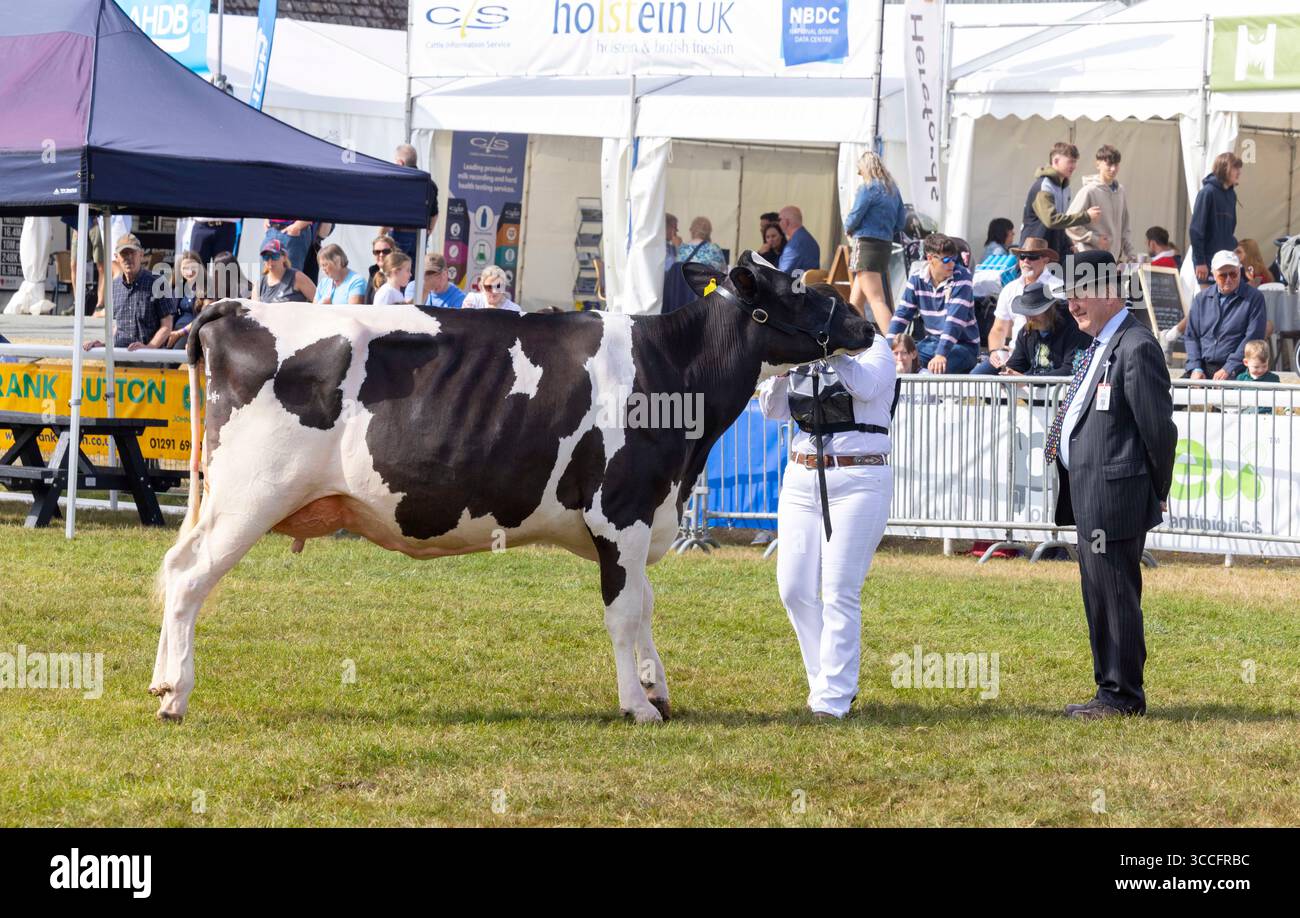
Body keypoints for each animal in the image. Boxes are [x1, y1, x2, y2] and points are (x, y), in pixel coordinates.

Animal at [150, 252, 875, 723]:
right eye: (803, 287)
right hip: (251, 492)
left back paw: (163, 684)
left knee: (178, 567)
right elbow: (624, 613)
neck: (672, 376)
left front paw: (657, 691)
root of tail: (231, 305)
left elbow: (644, 607)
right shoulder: (620, 514)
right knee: (187, 576)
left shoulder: (644, 520)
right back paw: (174, 696)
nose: (868, 326)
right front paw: (637, 707)